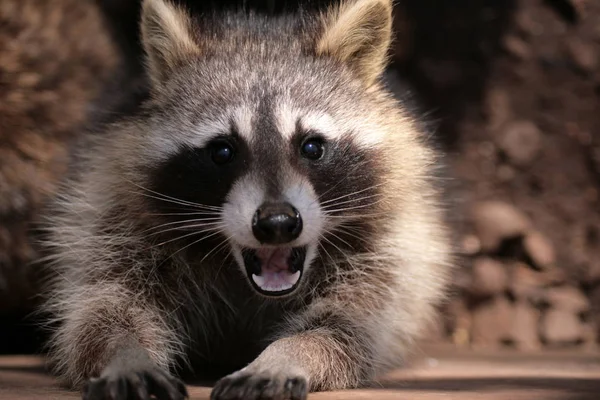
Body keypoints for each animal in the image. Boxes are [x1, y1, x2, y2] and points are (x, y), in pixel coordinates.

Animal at [42, 0, 452, 398]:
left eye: (312, 147)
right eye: (223, 151)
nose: (277, 224)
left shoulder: (389, 249)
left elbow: (346, 327)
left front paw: (288, 355)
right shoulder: (112, 213)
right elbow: (106, 311)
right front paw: (126, 356)